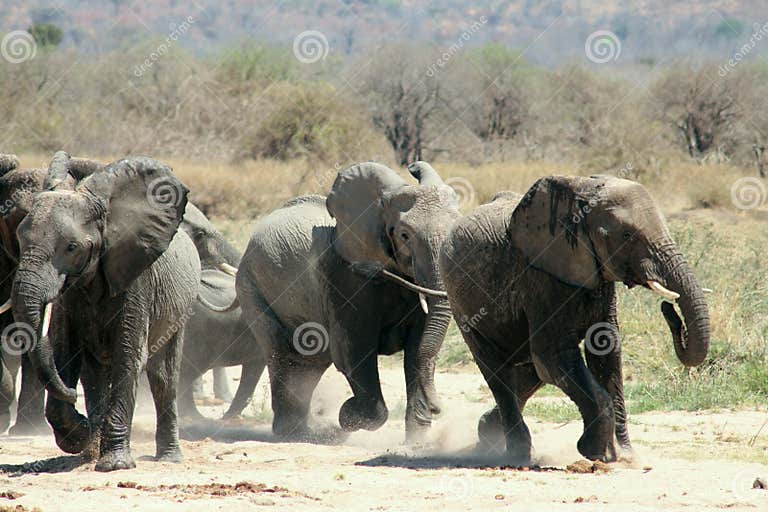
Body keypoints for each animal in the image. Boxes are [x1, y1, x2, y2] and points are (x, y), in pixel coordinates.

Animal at [9, 151, 200, 471]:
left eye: (72, 247)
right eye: (20, 240)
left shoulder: (137, 280)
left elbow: (129, 356)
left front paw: (114, 464)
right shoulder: (69, 297)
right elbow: (65, 353)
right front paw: (81, 436)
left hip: (181, 309)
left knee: (164, 379)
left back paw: (168, 458)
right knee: (94, 374)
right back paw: (90, 450)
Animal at [229, 161, 461, 441]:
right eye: (404, 235)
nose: (438, 408)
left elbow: (418, 350)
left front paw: (416, 444)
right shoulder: (343, 275)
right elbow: (354, 350)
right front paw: (346, 417)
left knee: (308, 362)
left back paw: (307, 433)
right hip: (250, 285)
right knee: (281, 352)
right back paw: (299, 435)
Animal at [440, 175, 710, 464]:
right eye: (626, 235)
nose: (668, 308)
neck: (579, 195)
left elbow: (606, 350)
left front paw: (624, 455)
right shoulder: (540, 279)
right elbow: (552, 356)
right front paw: (596, 453)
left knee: (529, 372)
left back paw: (486, 433)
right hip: (462, 306)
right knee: (498, 371)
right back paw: (518, 455)